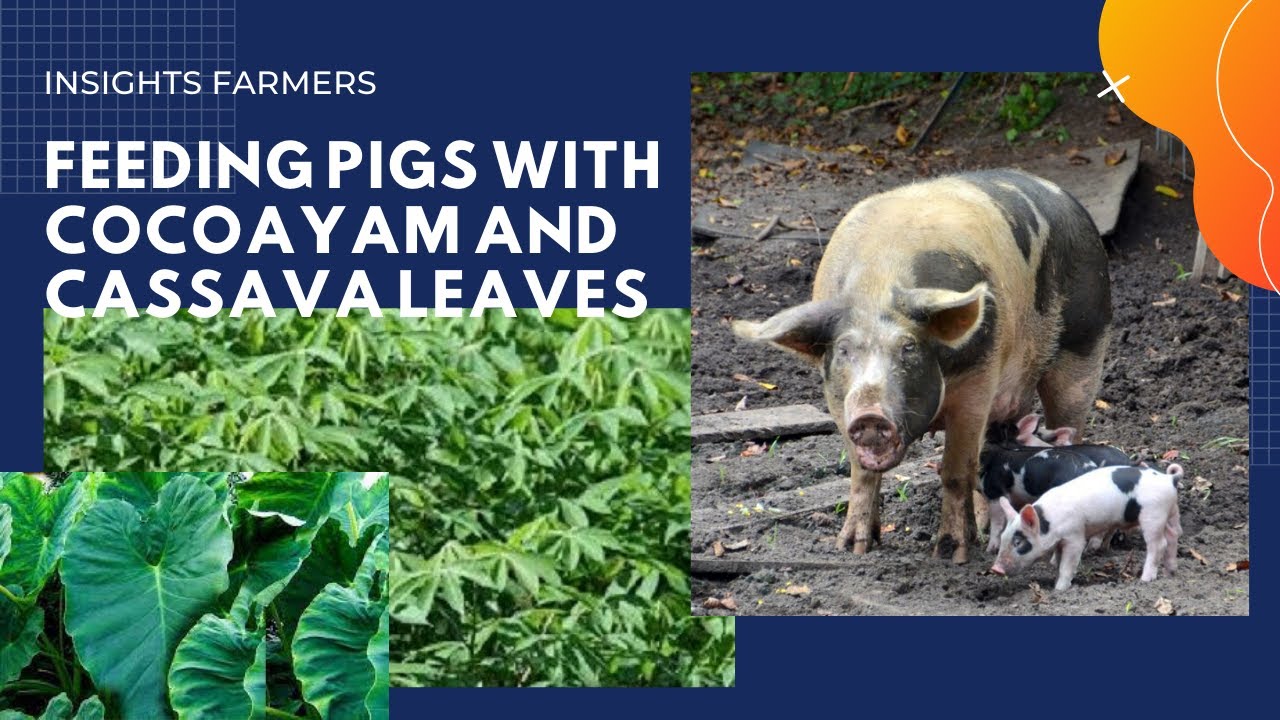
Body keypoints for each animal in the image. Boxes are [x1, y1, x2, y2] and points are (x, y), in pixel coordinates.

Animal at [733, 169, 1112, 563]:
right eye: (843, 350)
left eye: (909, 347)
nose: (870, 415)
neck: (878, 284)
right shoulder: (837, 402)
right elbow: (861, 474)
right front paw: (853, 548)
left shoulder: (978, 380)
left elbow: (956, 471)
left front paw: (950, 554)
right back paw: (984, 530)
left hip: (1086, 342)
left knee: (1068, 422)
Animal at [990, 463, 1183, 590]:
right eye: (1004, 538)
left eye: (1018, 542)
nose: (995, 569)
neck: (1049, 522)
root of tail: (1170, 479)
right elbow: (1058, 561)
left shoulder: (1075, 535)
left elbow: (1068, 565)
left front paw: (1059, 590)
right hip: (1170, 512)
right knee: (1174, 535)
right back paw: (1171, 573)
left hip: (1153, 514)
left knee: (1159, 544)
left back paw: (1145, 580)